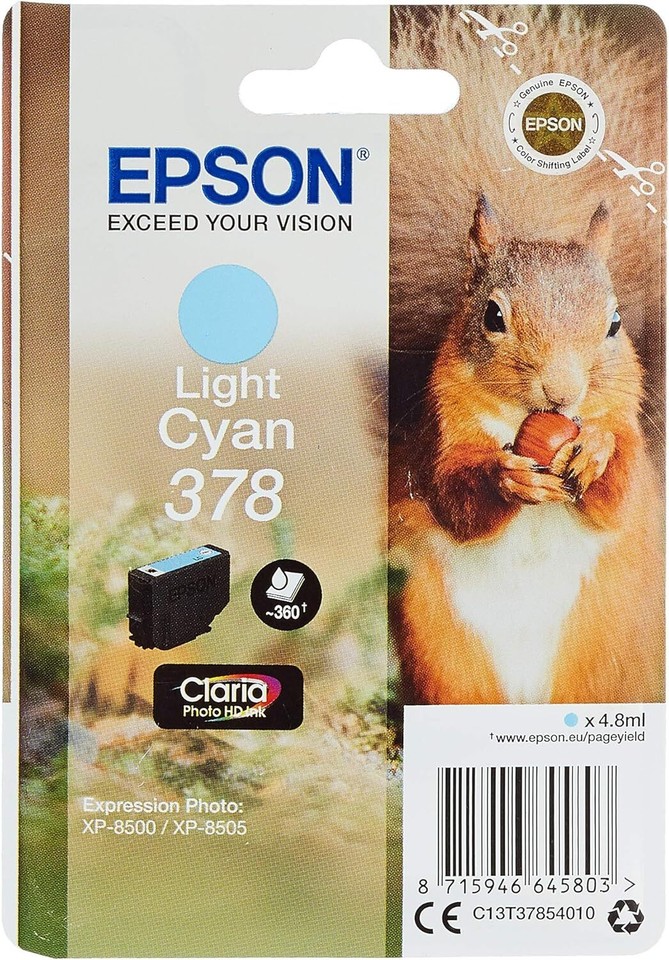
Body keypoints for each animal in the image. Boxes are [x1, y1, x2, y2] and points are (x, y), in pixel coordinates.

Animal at [388, 5, 665, 705]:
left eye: (614, 324)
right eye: (492, 316)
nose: (562, 394)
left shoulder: (629, 432)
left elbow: (619, 494)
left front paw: (595, 450)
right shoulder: (441, 432)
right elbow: (453, 495)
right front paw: (506, 477)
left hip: (611, 641)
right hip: (437, 635)